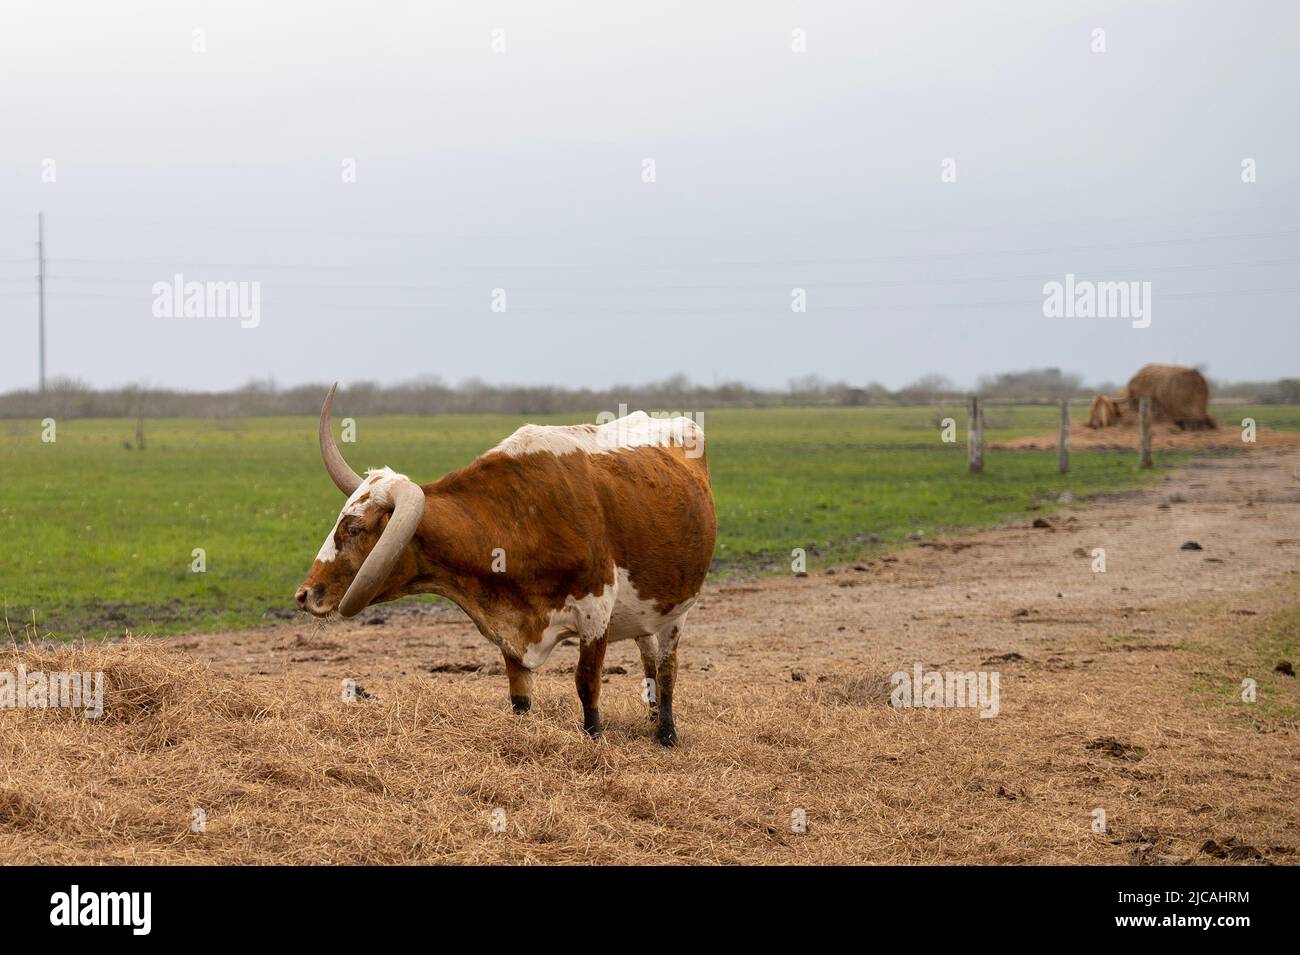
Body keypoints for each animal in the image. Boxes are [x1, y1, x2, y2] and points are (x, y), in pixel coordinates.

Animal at [295, 384, 717, 746]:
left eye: (353, 528)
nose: (304, 594)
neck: (517, 519)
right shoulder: (511, 633)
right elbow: (519, 700)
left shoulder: (595, 610)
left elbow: (586, 684)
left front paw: (594, 740)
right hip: (644, 609)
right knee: (648, 657)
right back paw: (651, 719)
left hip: (677, 610)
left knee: (666, 667)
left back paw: (666, 733)